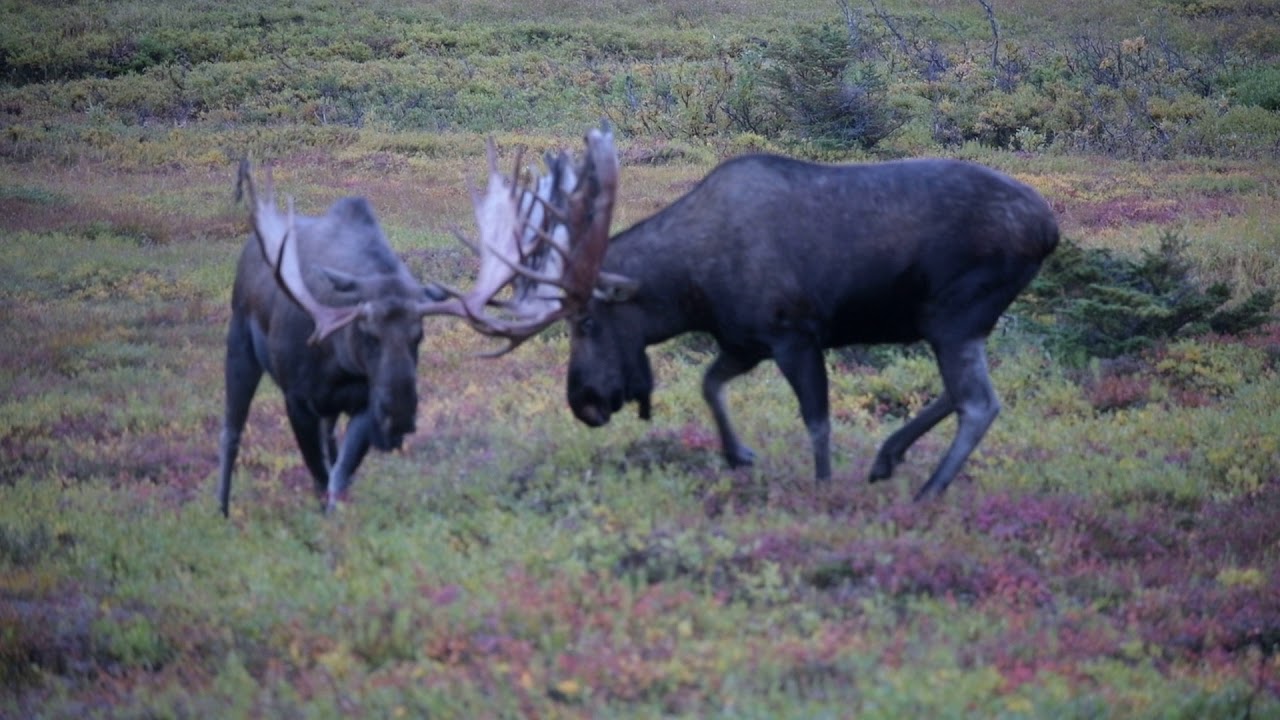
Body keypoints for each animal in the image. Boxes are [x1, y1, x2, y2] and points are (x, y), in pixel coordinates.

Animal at [456, 125, 1059, 501]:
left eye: (585, 322)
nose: (583, 403)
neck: (690, 290)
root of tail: (1049, 229)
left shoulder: (794, 334)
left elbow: (817, 422)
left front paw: (822, 492)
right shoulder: (743, 341)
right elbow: (709, 384)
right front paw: (739, 454)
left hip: (957, 312)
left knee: (978, 402)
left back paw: (928, 491)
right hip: (948, 322)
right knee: (961, 394)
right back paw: (888, 459)